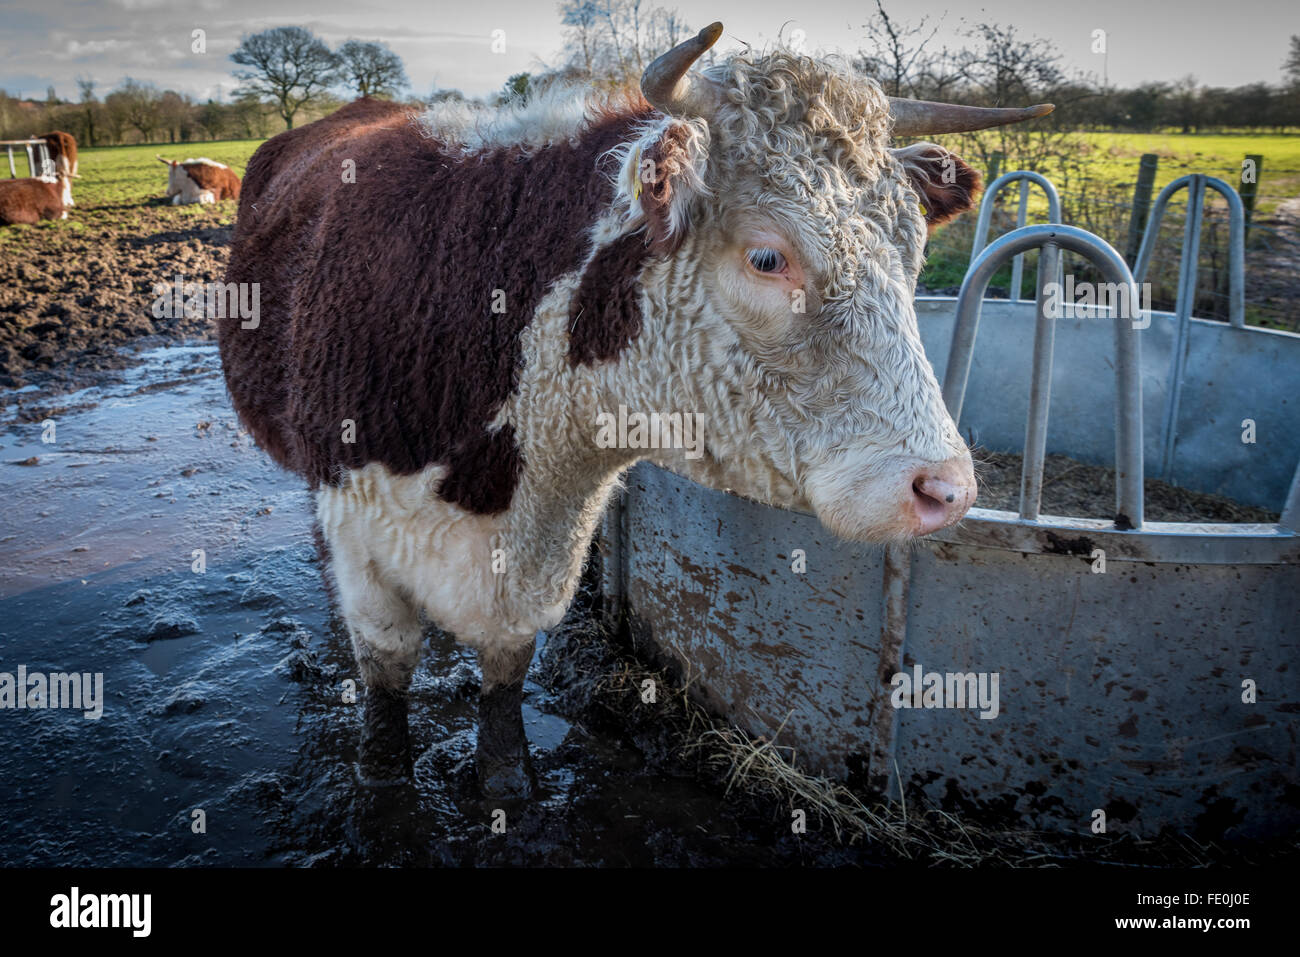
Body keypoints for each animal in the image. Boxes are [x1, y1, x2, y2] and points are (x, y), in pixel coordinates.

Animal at [220, 22, 1052, 797]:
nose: (945, 488)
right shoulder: (359, 529)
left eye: (912, 253)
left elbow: (505, 673)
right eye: (767, 257)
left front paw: (507, 782)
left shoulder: (539, 553)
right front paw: (383, 768)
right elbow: (387, 675)